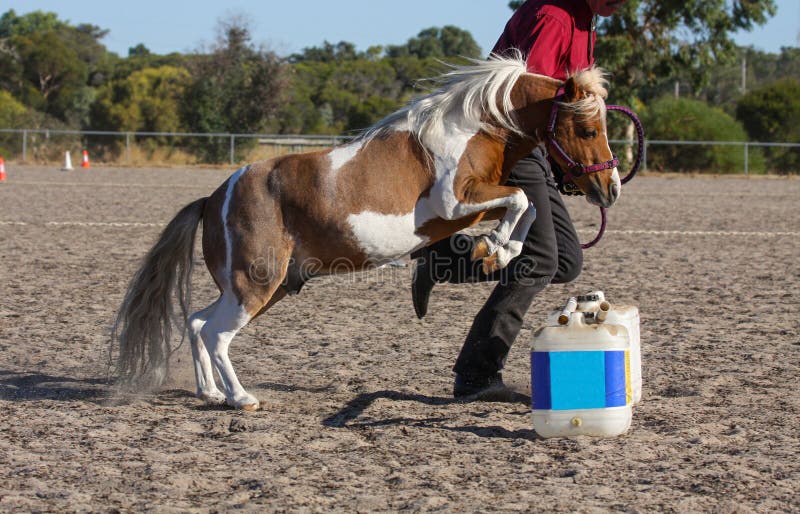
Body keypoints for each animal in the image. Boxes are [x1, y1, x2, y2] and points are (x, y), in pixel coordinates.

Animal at [113, 54, 621, 410]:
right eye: (586, 128)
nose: (610, 188)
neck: (469, 131)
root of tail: (213, 197)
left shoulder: (467, 208)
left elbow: (525, 206)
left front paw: (498, 248)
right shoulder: (453, 202)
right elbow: (519, 199)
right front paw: (495, 247)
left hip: (259, 288)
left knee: (199, 323)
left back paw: (211, 394)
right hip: (256, 285)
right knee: (217, 335)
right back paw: (241, 399)